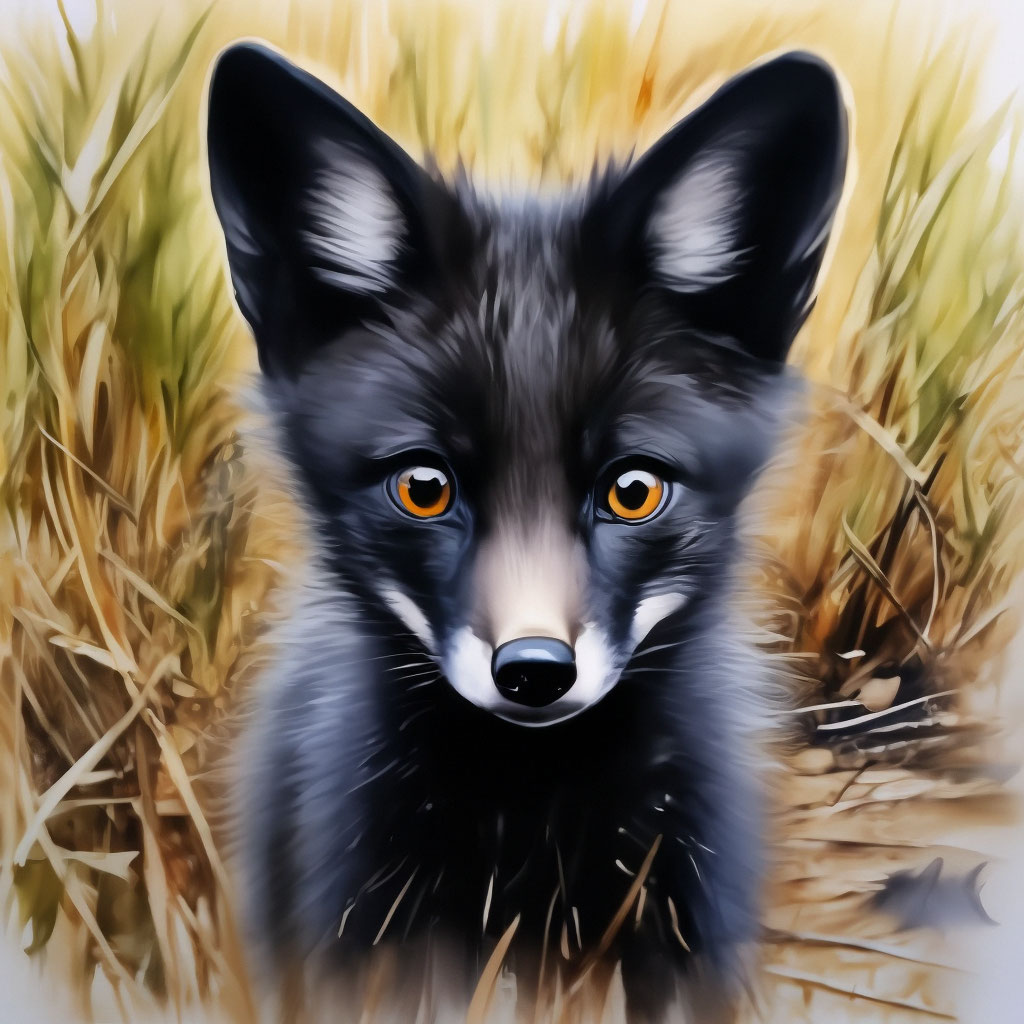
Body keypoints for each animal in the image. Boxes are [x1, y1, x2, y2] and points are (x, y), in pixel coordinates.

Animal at [206, 41, 847, 1023]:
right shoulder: (371, 936)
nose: (535, 672)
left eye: (633, 491)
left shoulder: (681, 933)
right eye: (424, 487)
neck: (532, 826)